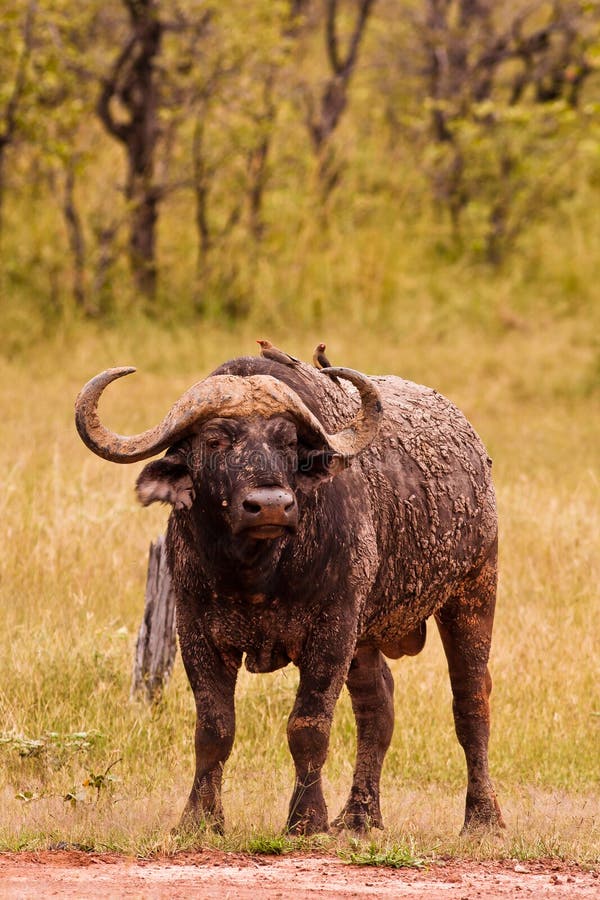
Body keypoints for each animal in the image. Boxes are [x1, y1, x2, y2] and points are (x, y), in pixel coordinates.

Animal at [75, 353, 504, 836]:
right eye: (215, 439)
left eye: (287, 443)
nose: (271, 505)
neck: (257, 574)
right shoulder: (195, 629)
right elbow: (214, 729)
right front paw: (200, 818)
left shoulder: (332, 628)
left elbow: (308, 727)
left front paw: (306, 819)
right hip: (365, 636)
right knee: (377, 705)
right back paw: (359, 816)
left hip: (473, 590)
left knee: (471, 702)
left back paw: (482, 819)